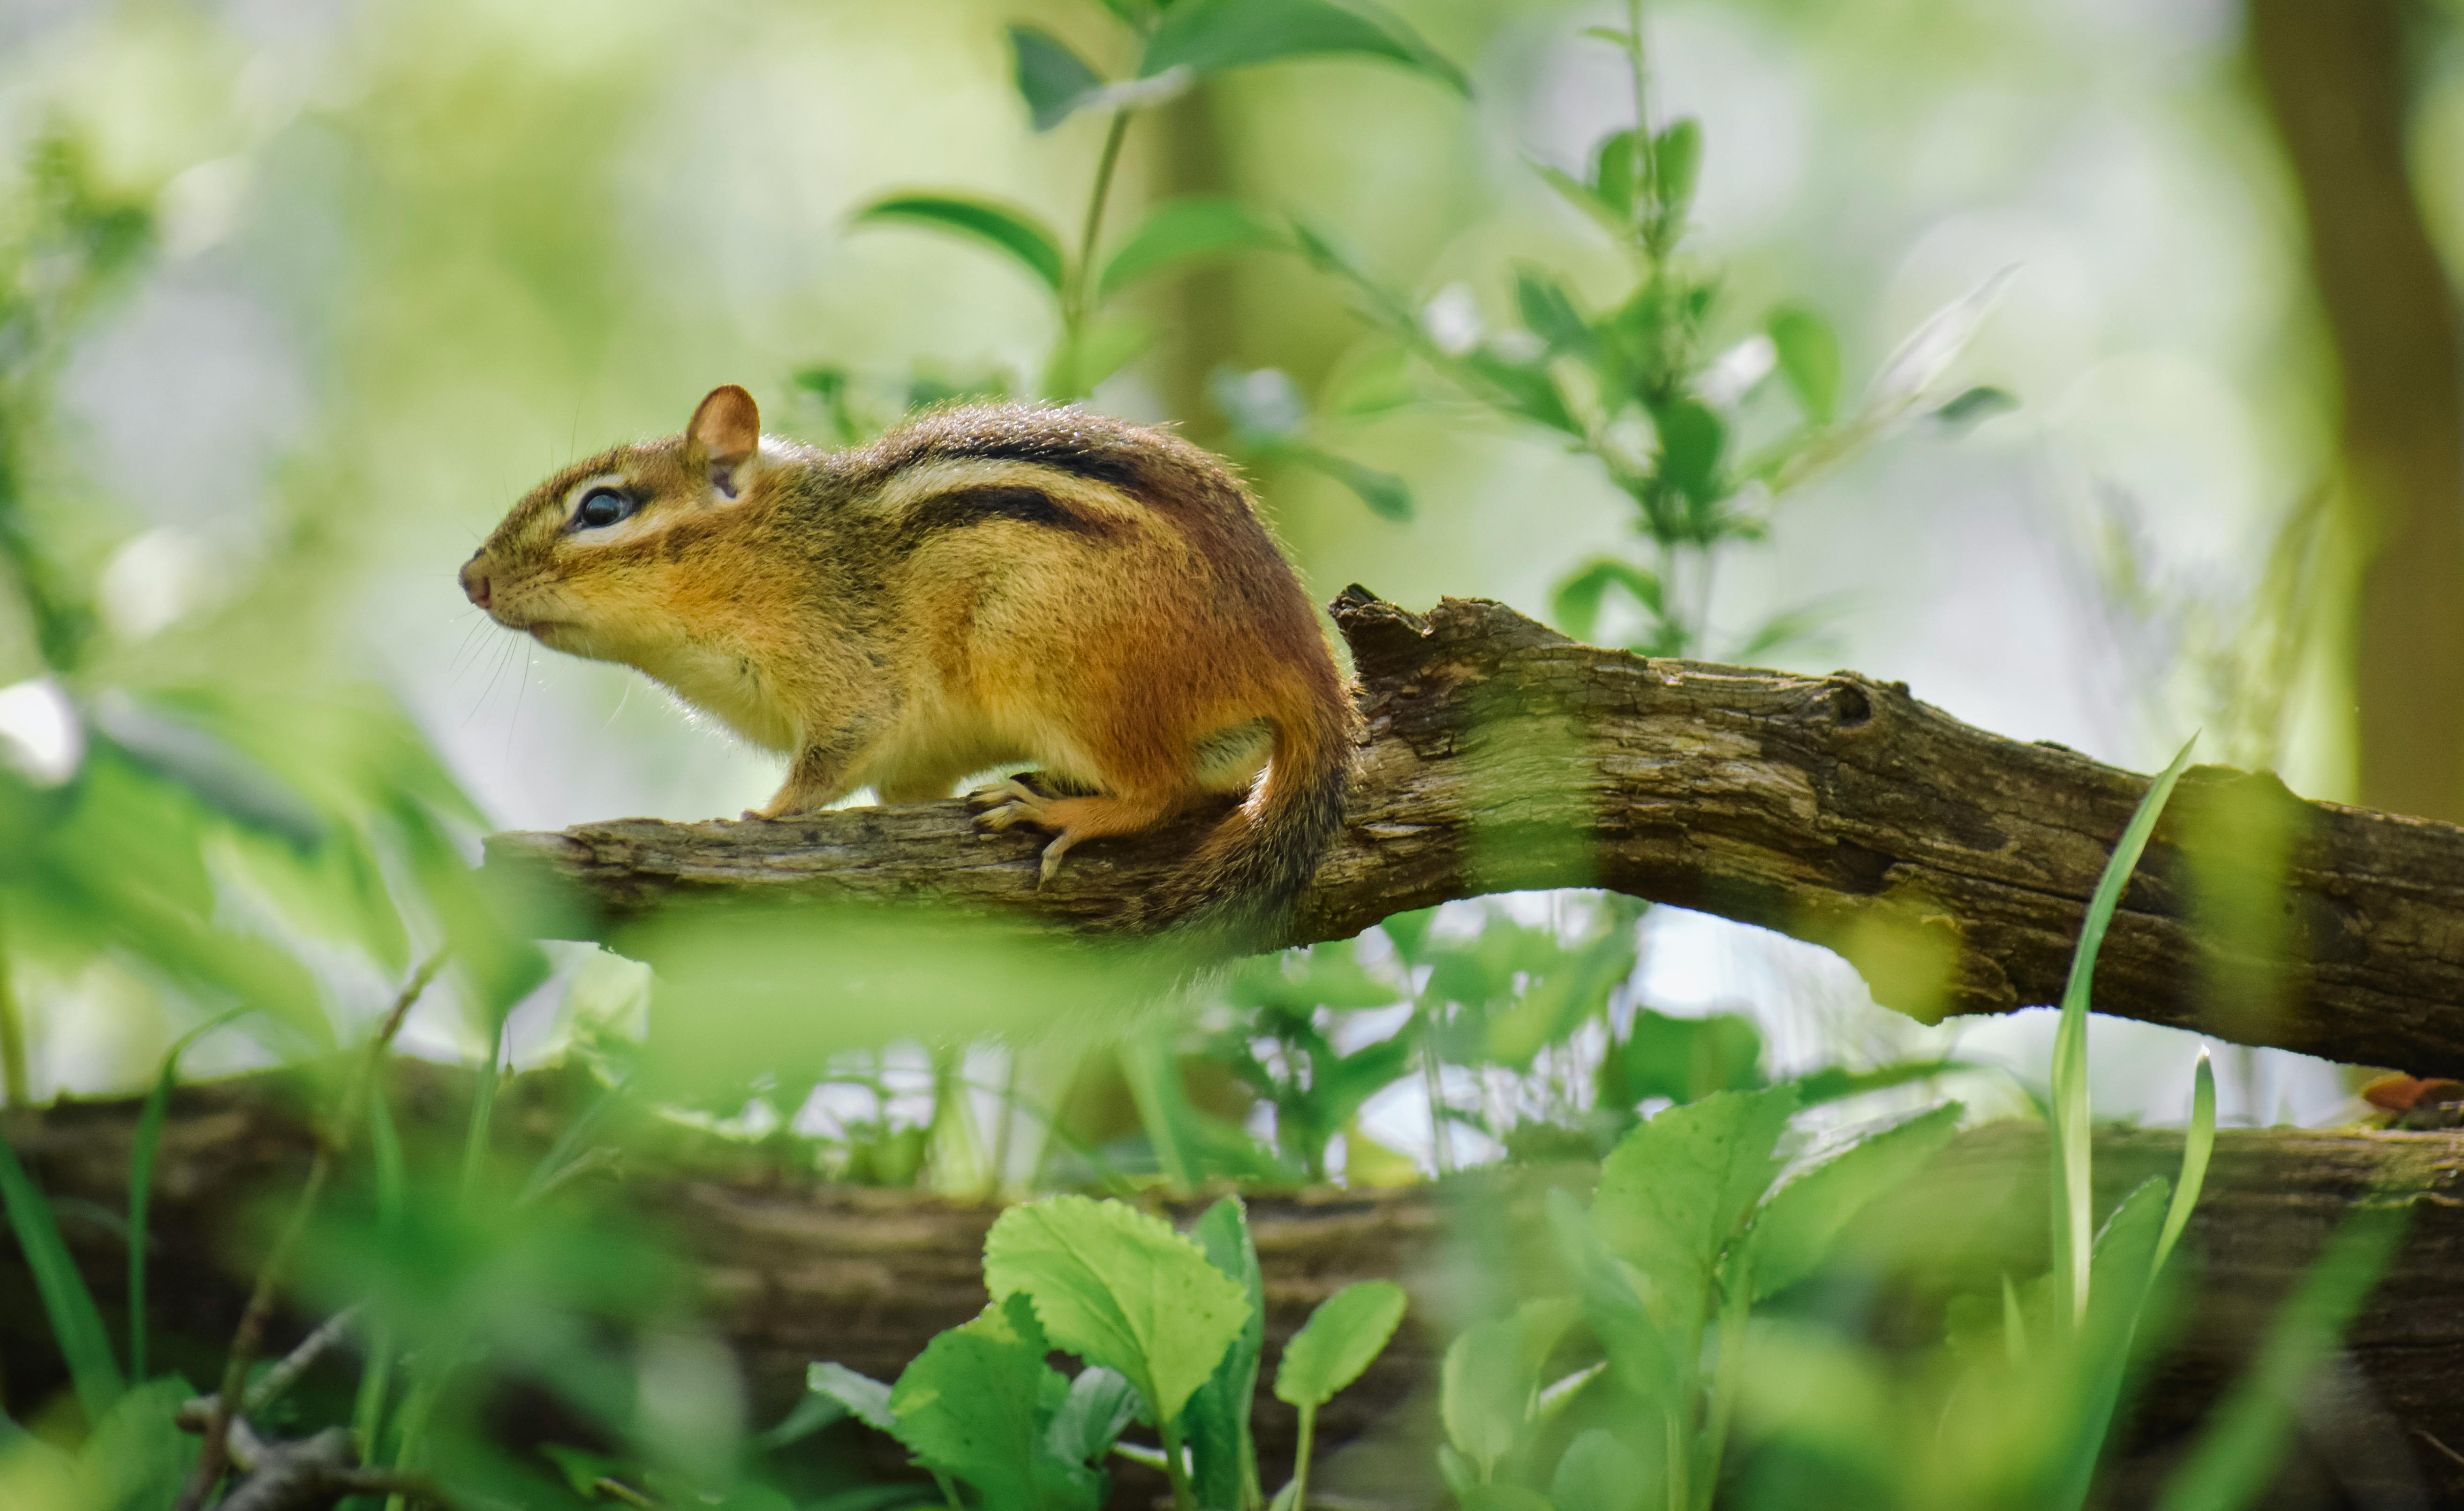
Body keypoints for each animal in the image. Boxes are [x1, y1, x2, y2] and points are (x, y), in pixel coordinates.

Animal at [459, 385, 1357, 935]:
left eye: (602, 508)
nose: (471, 579)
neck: (773, 551)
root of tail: (1306, 670)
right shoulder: (915, 761)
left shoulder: (851, 684)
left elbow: (826, 764)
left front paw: (759, 818)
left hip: (1049, 659)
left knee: (1160, 790)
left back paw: (1059, 811)